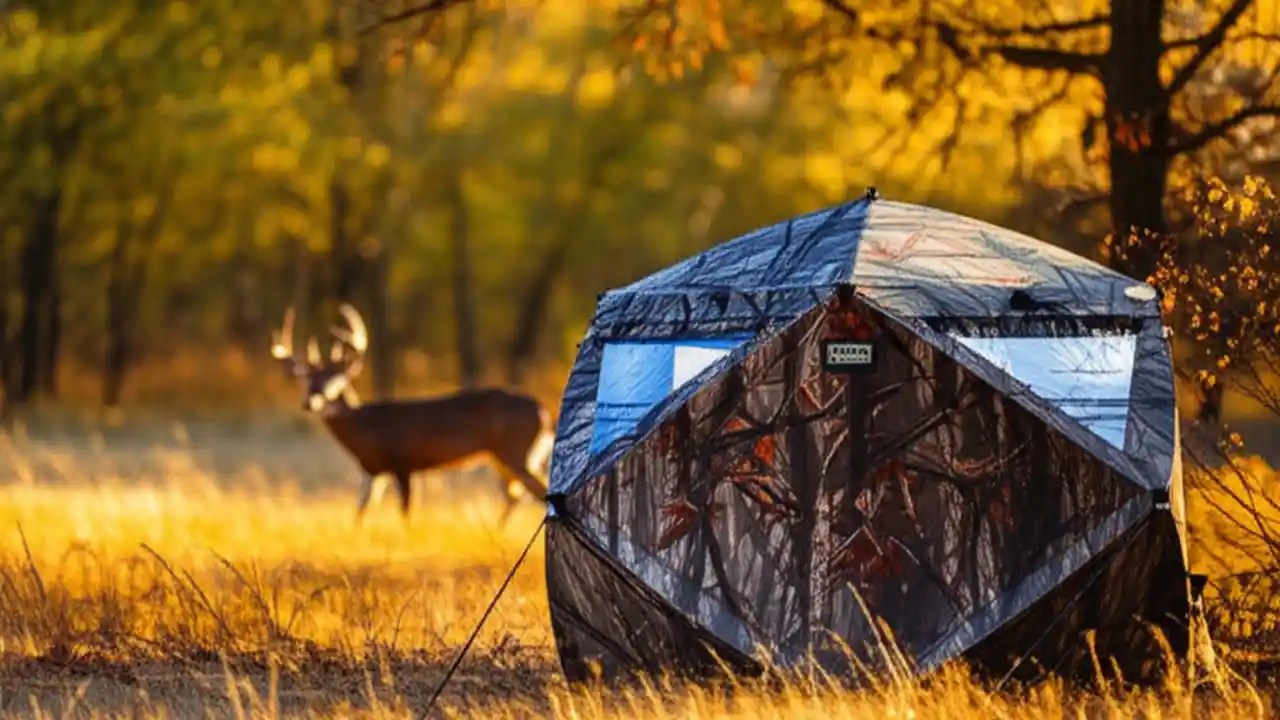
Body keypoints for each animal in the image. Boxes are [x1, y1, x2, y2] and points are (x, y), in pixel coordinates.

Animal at [270, 304, 552, 525]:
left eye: (336, 380)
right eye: (306, 381)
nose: (310, 402)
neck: (366, 429)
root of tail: (545, 414)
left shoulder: (403, 460)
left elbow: (405, 510)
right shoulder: (372, 470)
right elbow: (361, 510)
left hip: (517, 451)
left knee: (535, 491)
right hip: (503, 458)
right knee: (517, 495)